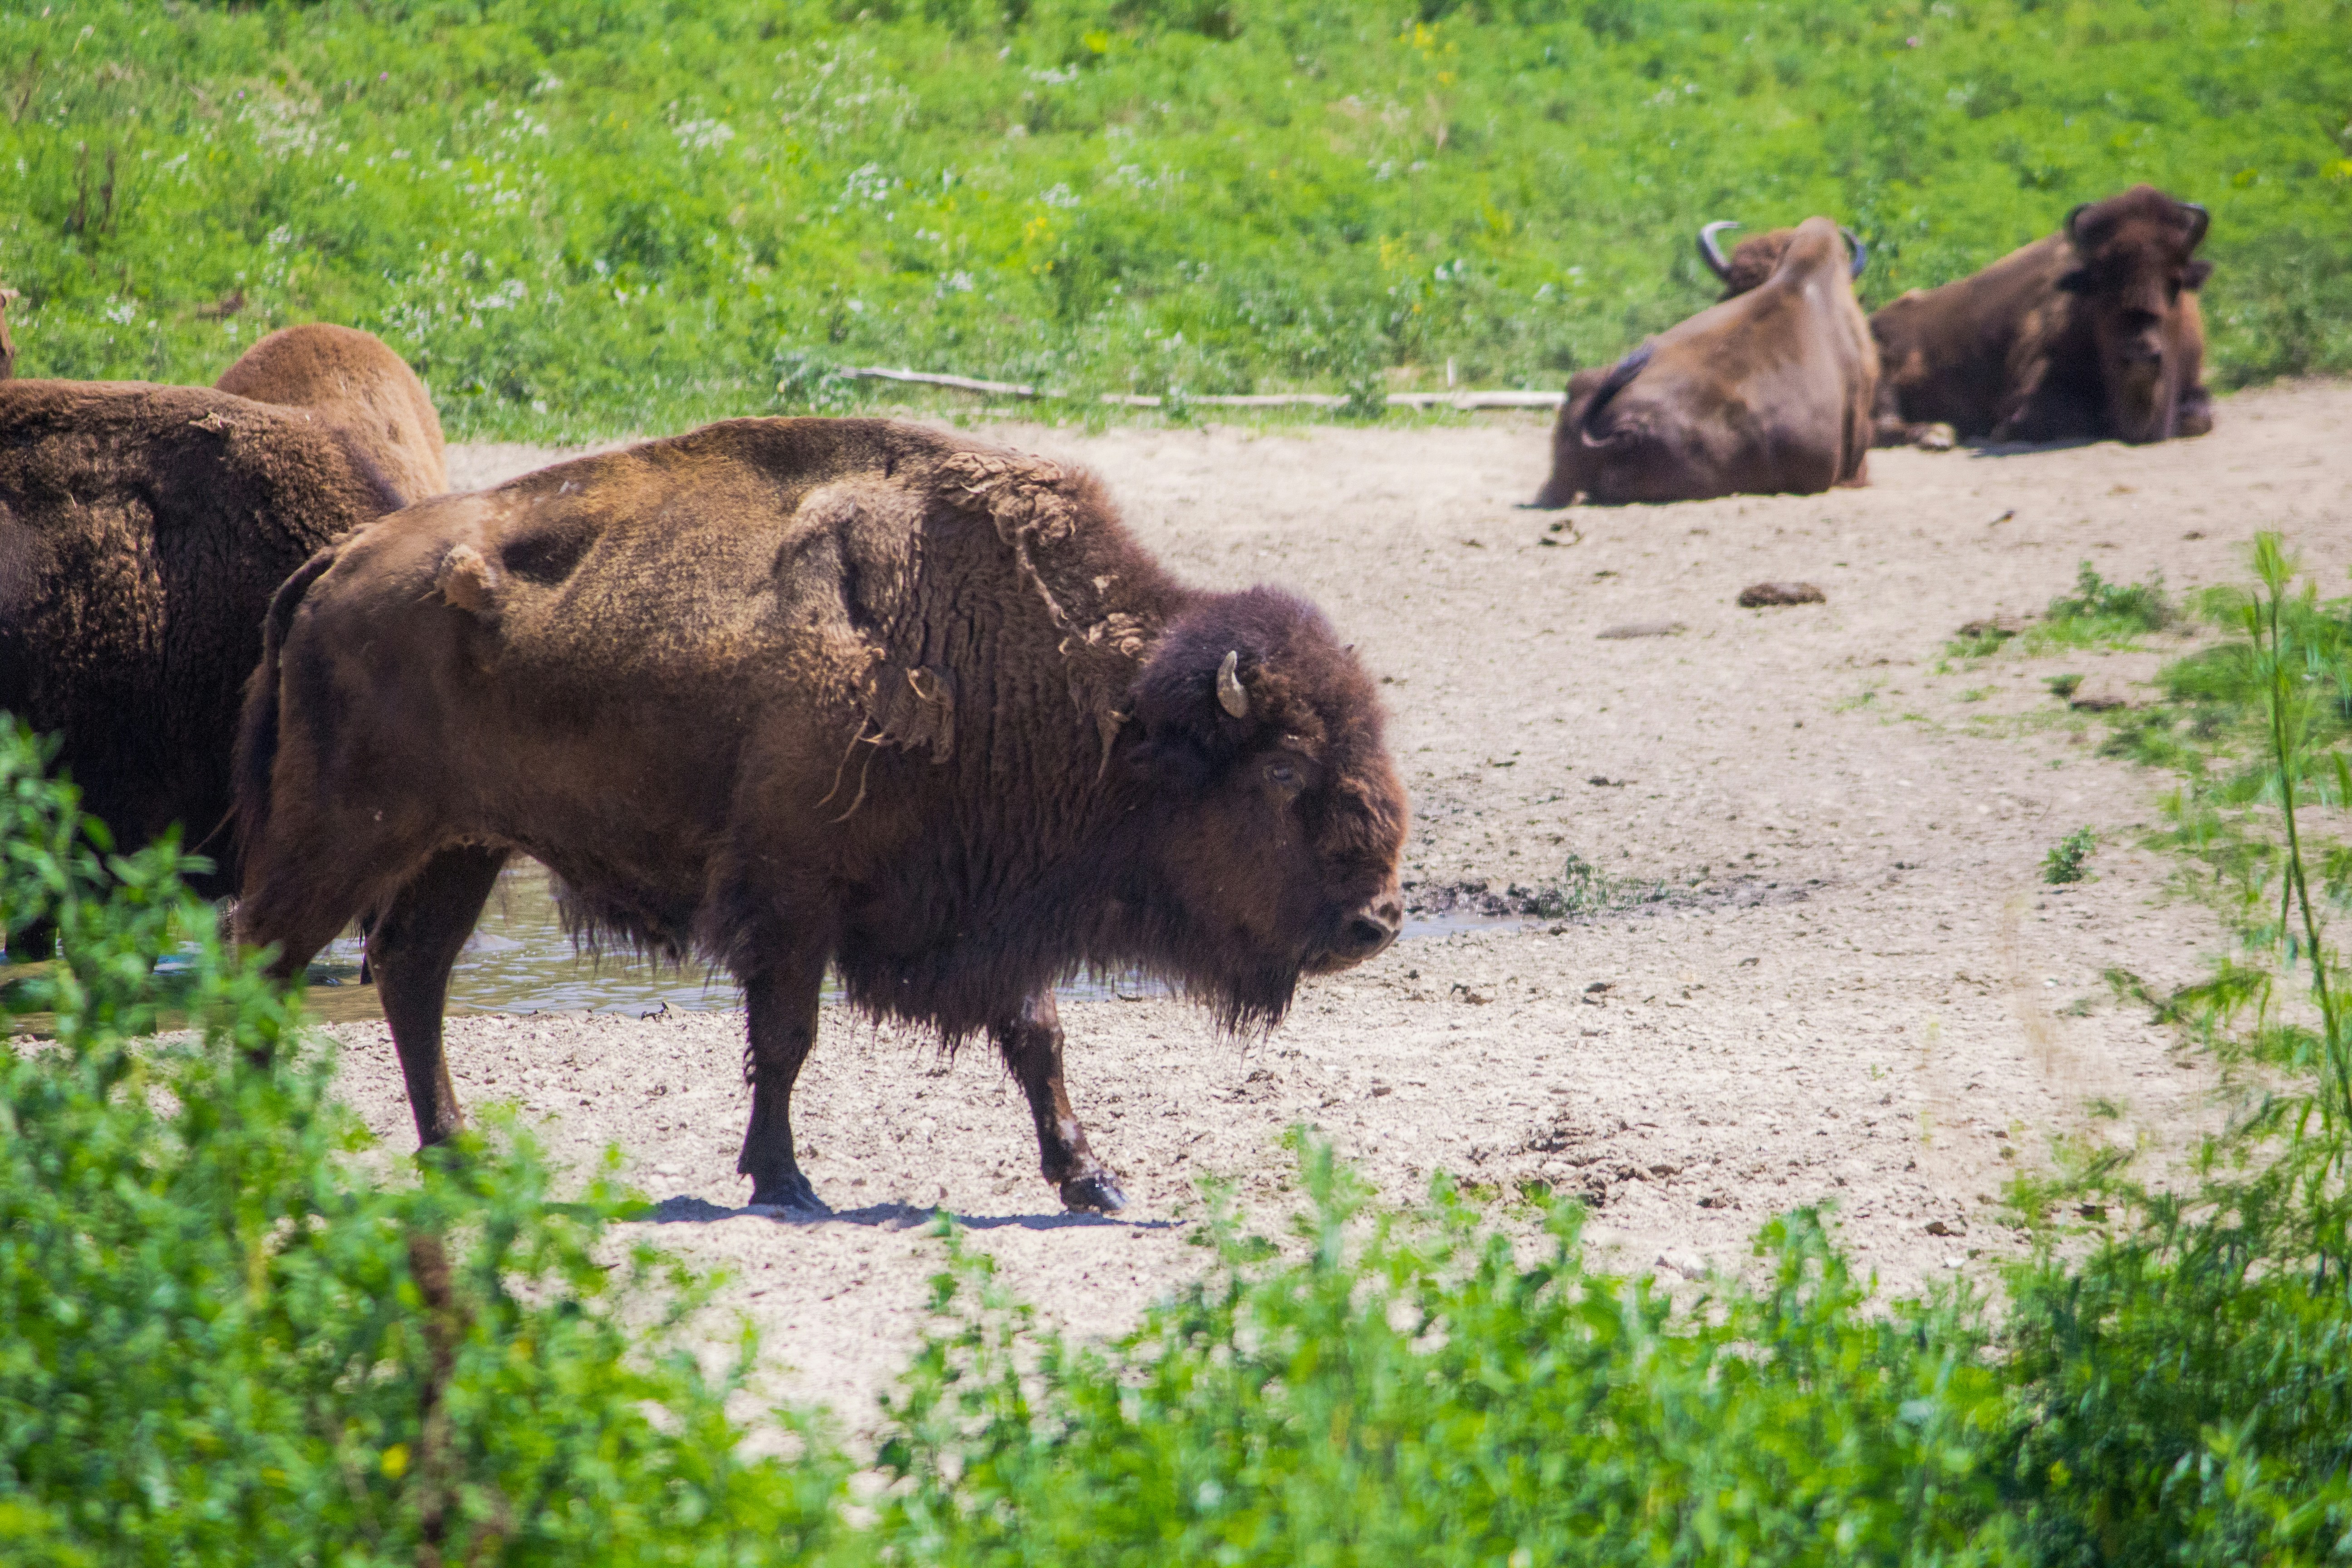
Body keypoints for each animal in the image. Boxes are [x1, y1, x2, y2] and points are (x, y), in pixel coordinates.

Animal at [233, 418, 1409, 1215]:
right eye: (1282, 771)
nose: (1376, 920)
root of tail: (341, 561)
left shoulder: (991, 912)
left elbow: (1037, 1037)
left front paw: (1093, 1177)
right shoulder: (793, 897)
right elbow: (787, 1037)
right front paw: (785, 1178)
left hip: (460, 843)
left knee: (410, 970)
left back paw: (456, 1155)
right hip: (344, 833)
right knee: (268, 958)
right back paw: (264, 1147)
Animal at [1868, 184, 2214, 447]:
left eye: (2176, 283)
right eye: (2101, 283)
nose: (2142, 353)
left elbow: (2201, 418)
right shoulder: (2027, 394)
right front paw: (2000, 432)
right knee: (1884, 426)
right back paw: (1937, 434)